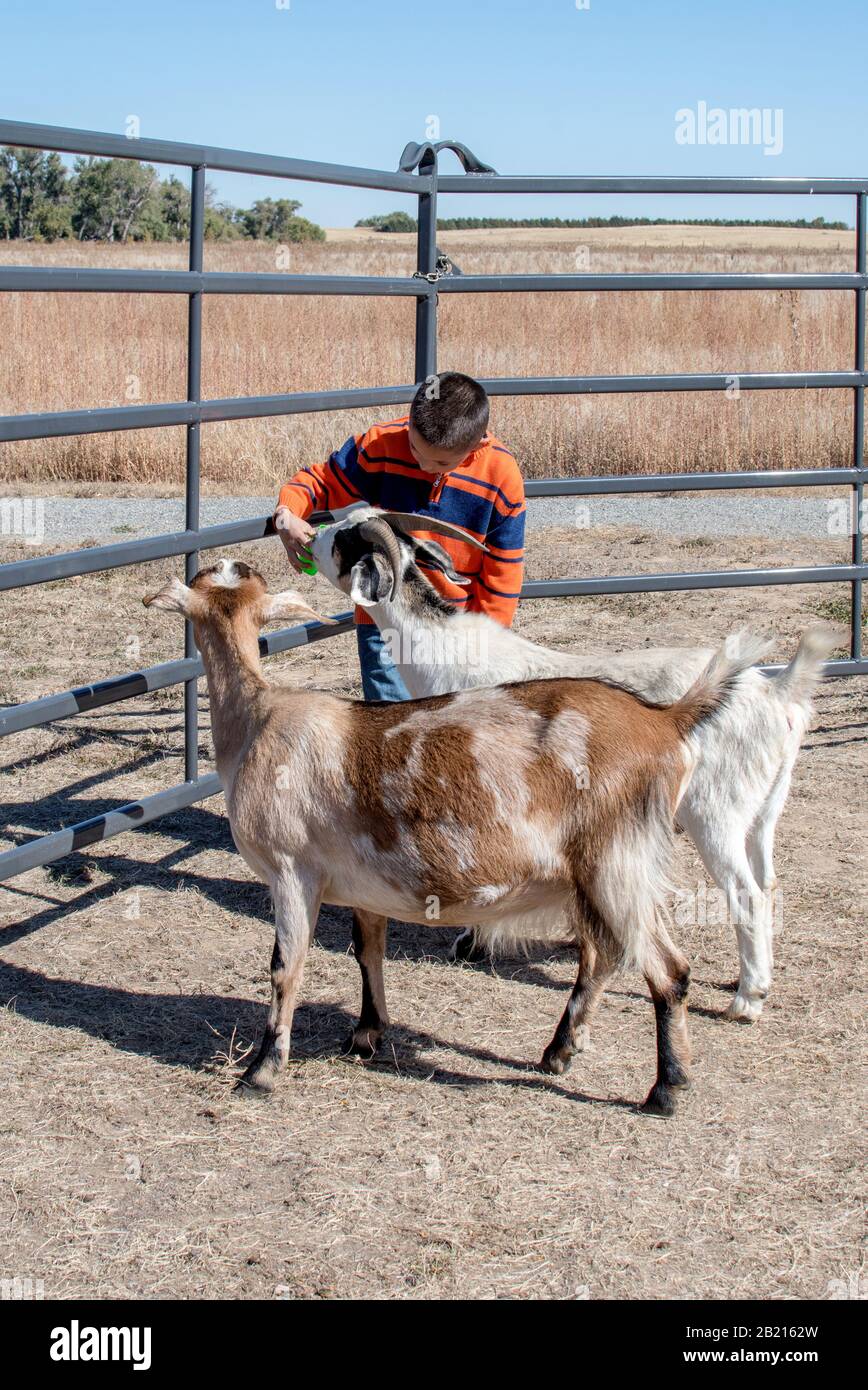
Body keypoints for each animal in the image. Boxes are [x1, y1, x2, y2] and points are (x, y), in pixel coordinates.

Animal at [144, 558, 765, 1115]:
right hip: (593, 874)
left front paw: (262, 1070)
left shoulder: (292, 870)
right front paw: (366, 1034)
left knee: (668, 969)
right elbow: (368, 950)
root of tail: (665, 721)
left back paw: (666, 1089)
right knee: (605, 953)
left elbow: (285, 966)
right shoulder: (362, 884)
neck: (257, 719)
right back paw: (560, 1051)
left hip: (617, 861)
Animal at [308, 505, 836, 1021]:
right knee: (767, 881)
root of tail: (778, 692)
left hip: (714, 810)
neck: (446, 653)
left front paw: (472, 939)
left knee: (746, 891)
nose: (312, 535)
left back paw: (747, 1000)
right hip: (761, 810)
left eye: (344, 539)